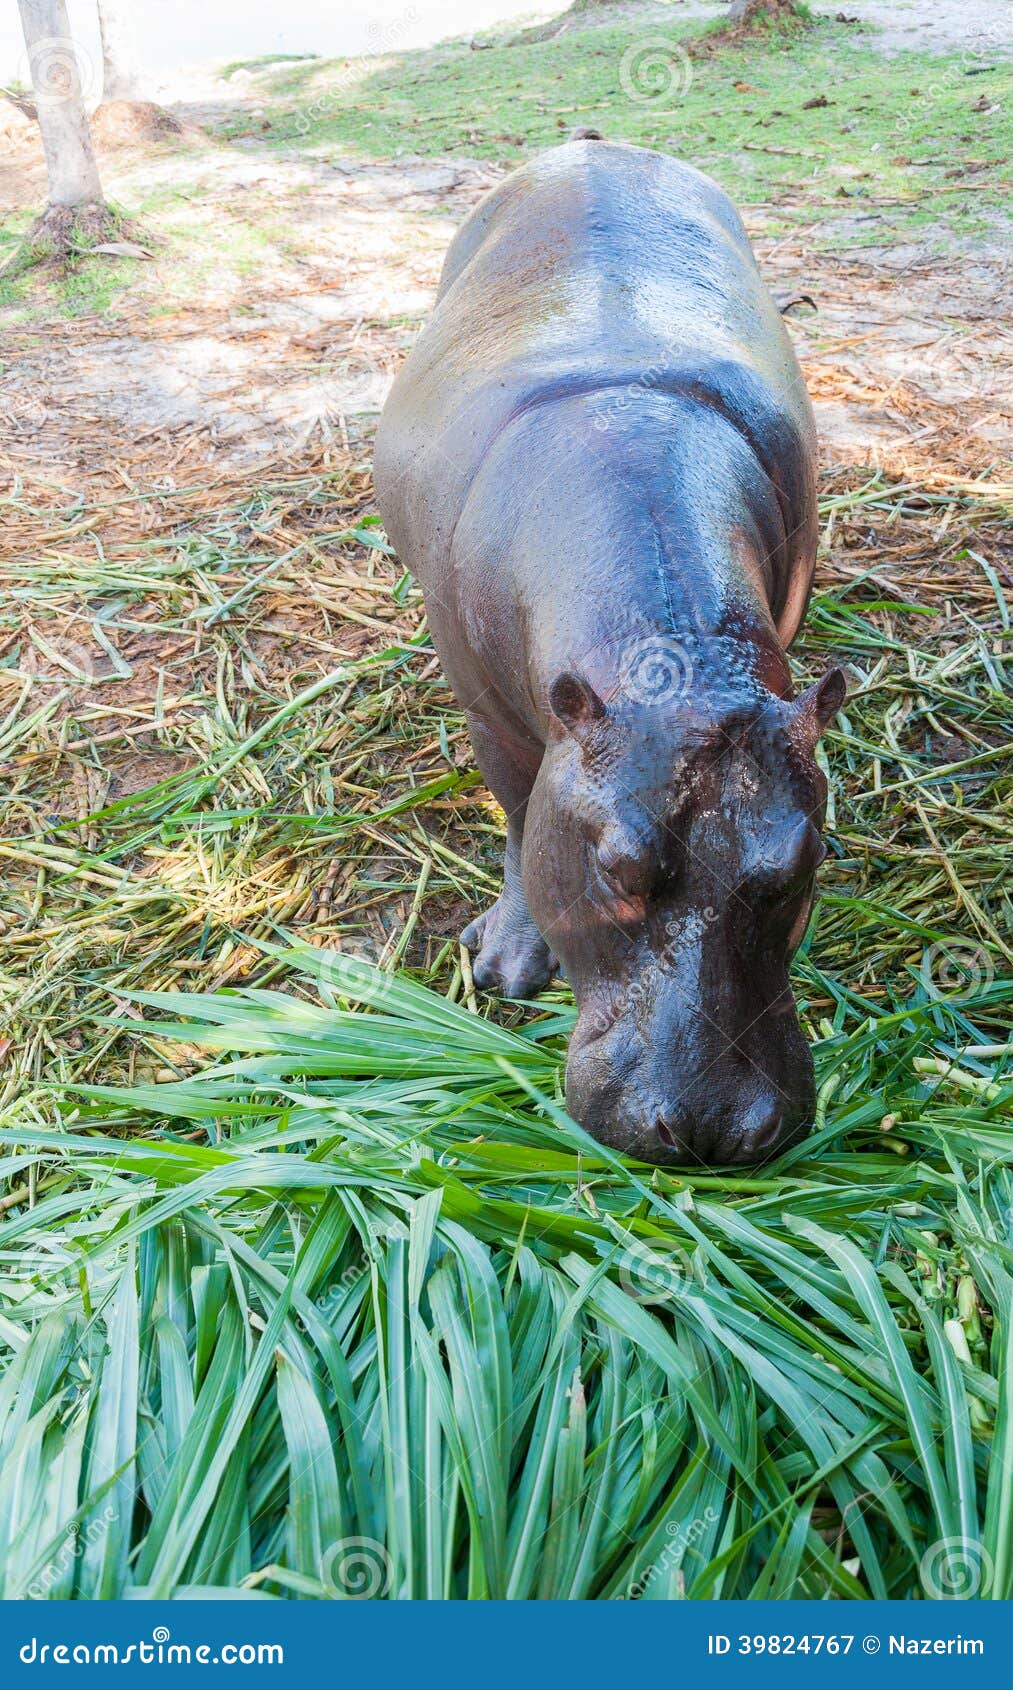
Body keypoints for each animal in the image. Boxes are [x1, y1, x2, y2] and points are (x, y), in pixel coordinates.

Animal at [374, 138, 844, 1167]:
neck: (671, 654)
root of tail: (589, 145)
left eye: (797, 864)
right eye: (616, 868)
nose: (707, 1129)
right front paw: (506, 967)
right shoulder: (498, 721)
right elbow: (519, 819)